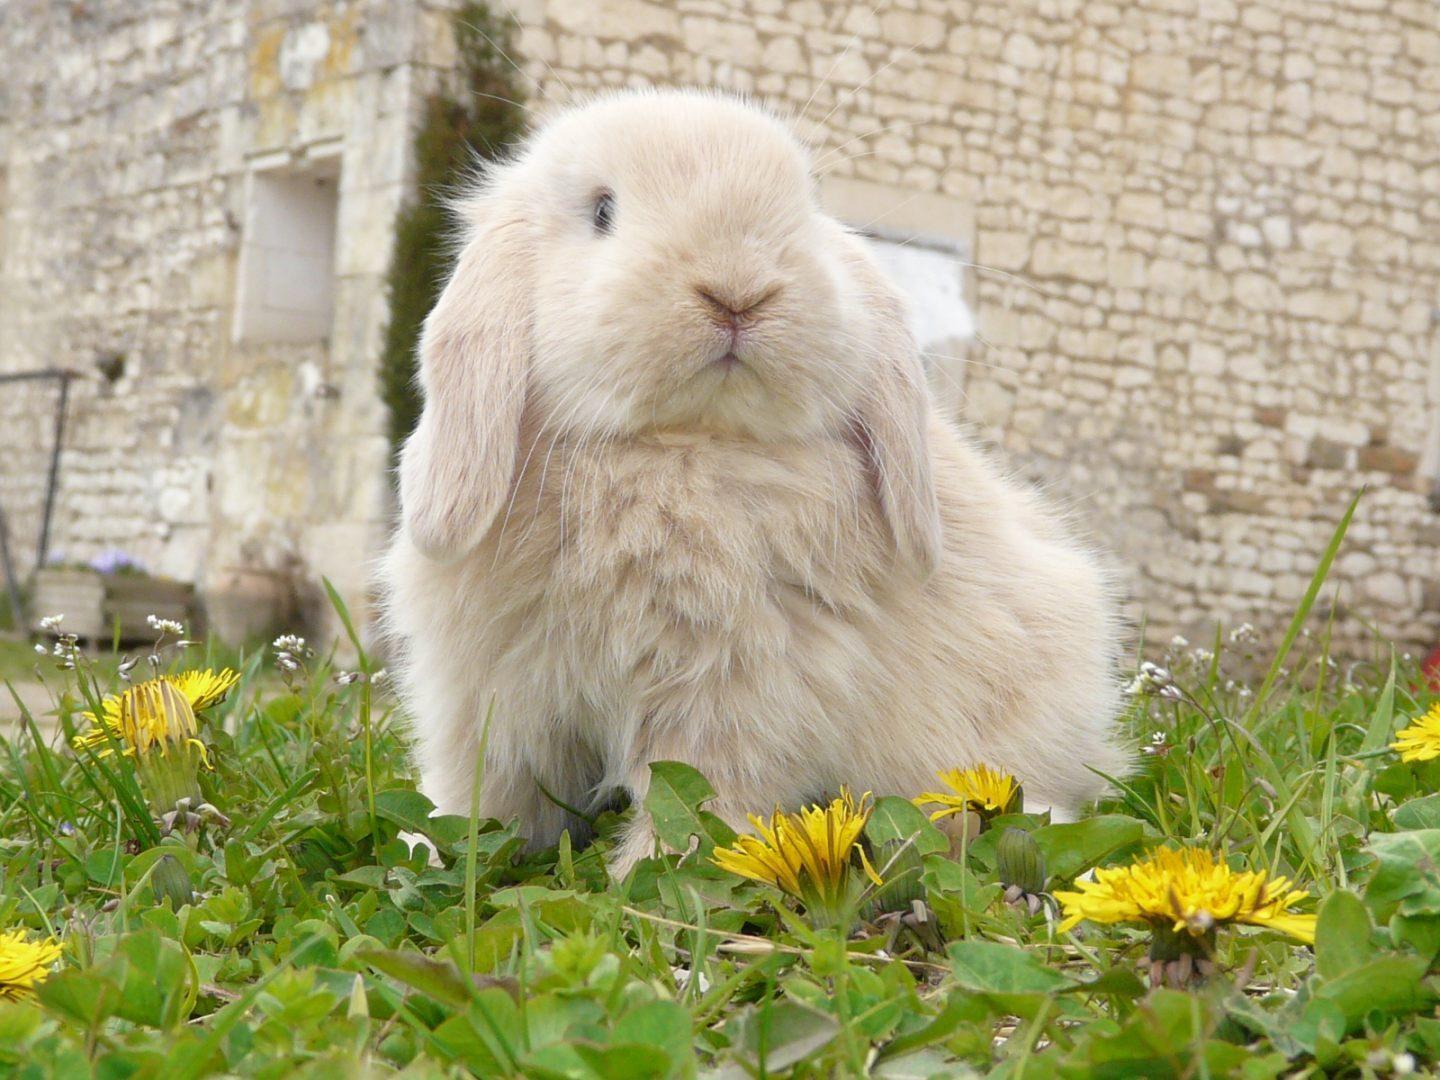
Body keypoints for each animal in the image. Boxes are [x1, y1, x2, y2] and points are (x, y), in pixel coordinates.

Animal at [379, 88, 1129, 875]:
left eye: (804, 203)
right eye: (602, 211)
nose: (737, 291)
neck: (683, 445)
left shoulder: (733, 703)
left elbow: (699, 810)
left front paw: (646, 876)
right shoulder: (491, 702)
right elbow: (484, 802)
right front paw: (432, 854)